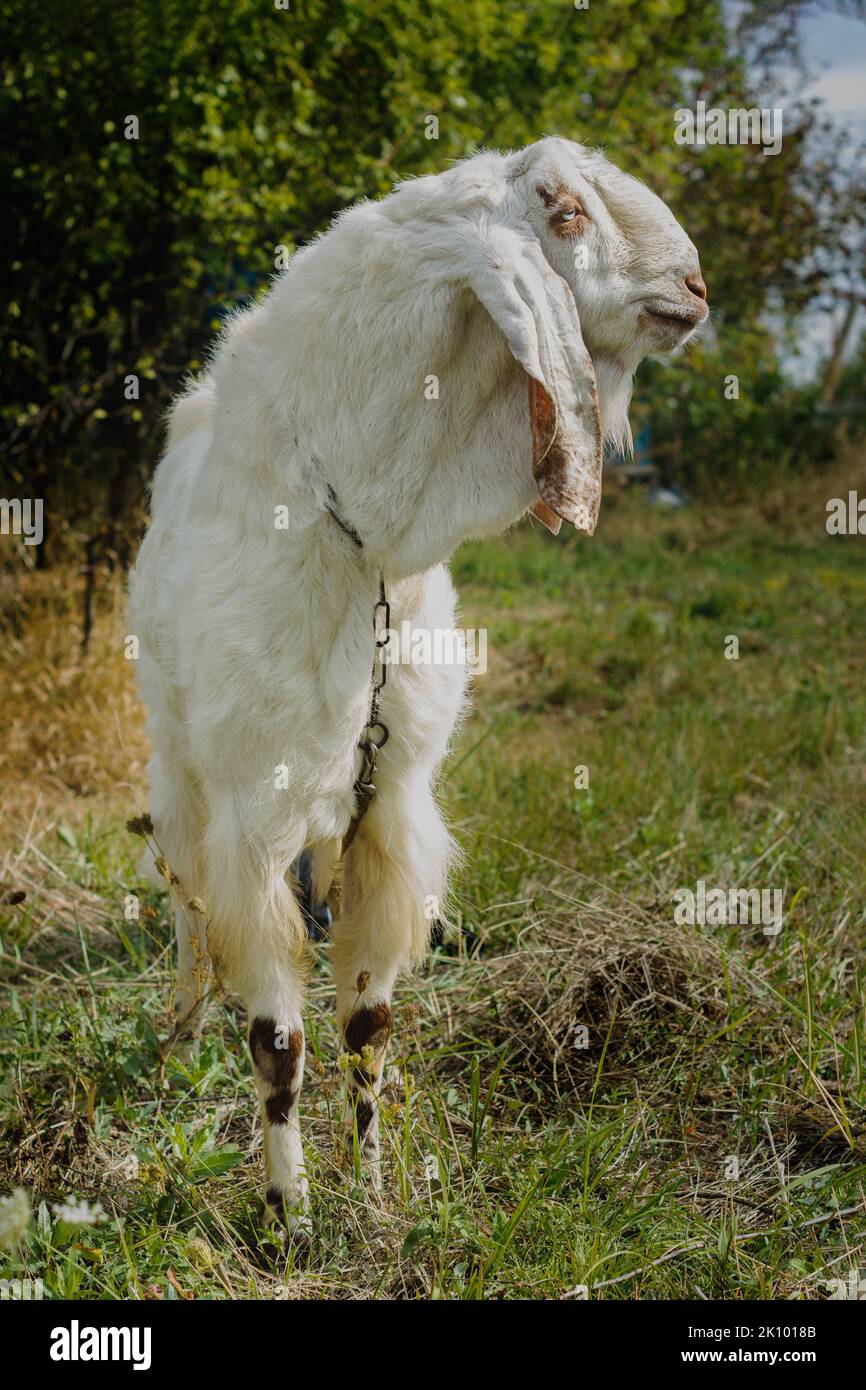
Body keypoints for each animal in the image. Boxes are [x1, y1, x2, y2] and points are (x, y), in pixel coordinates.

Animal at [128, 136, 708, 1236]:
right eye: (561, 209)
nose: (693, 288)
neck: (360, 539)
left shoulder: (389, 809)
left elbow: (368, 1017)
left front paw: (376, 1194)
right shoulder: (251, 819)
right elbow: (277, 1039)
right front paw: (292, 1220)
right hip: (179, 777)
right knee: (187, 910)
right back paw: (178, 1027)